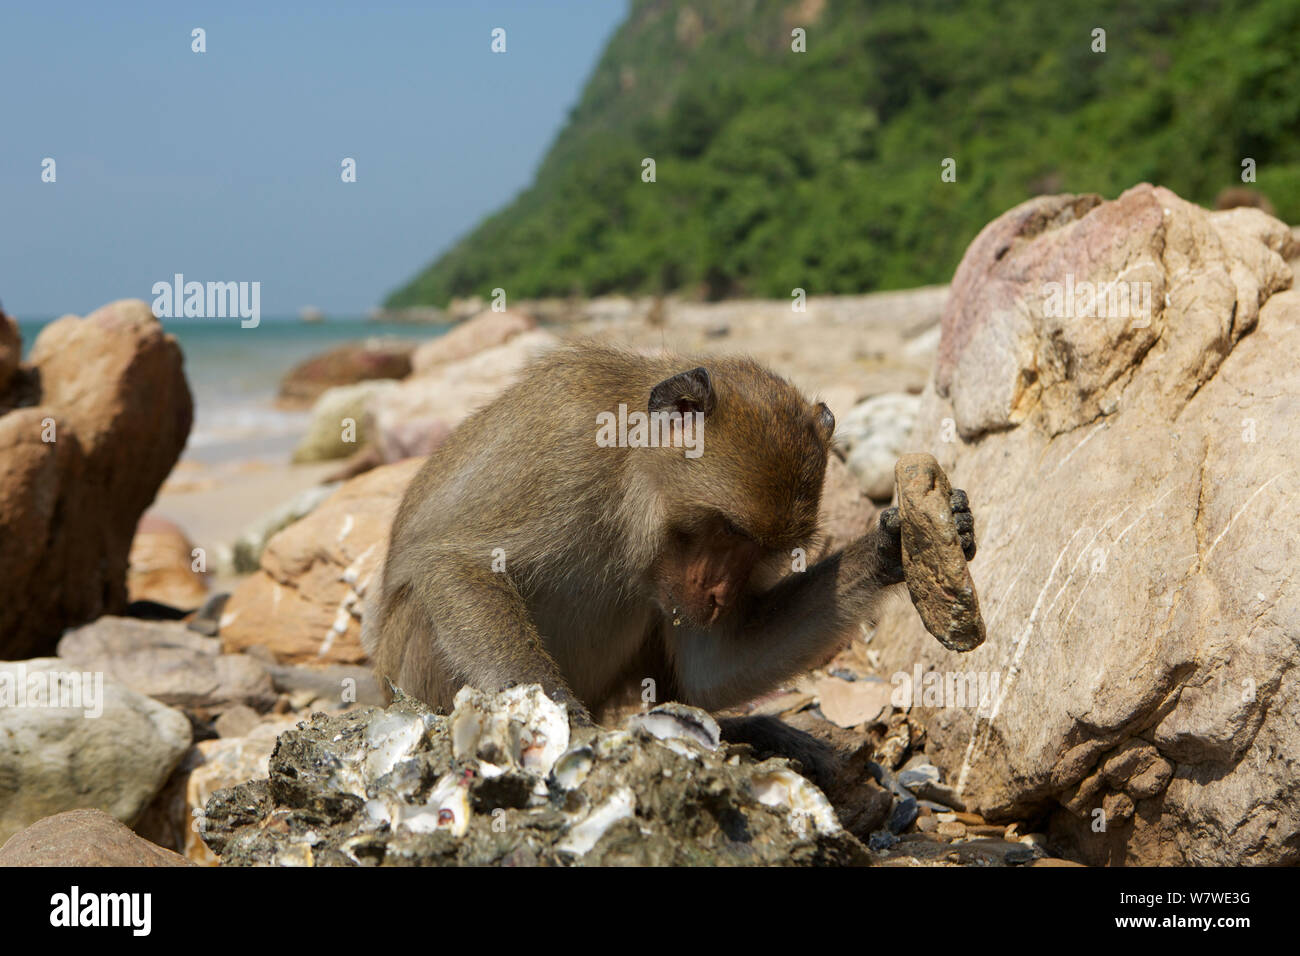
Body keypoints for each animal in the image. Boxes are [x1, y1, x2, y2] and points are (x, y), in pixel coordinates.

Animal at [364, 342, 975, 781]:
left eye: (762, 550)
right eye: (727, 530)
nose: (719, 595)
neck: (627, 475)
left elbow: (714, 666)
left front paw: (896, 546)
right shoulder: (565, 453)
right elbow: (456, 563)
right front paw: (566, 724)